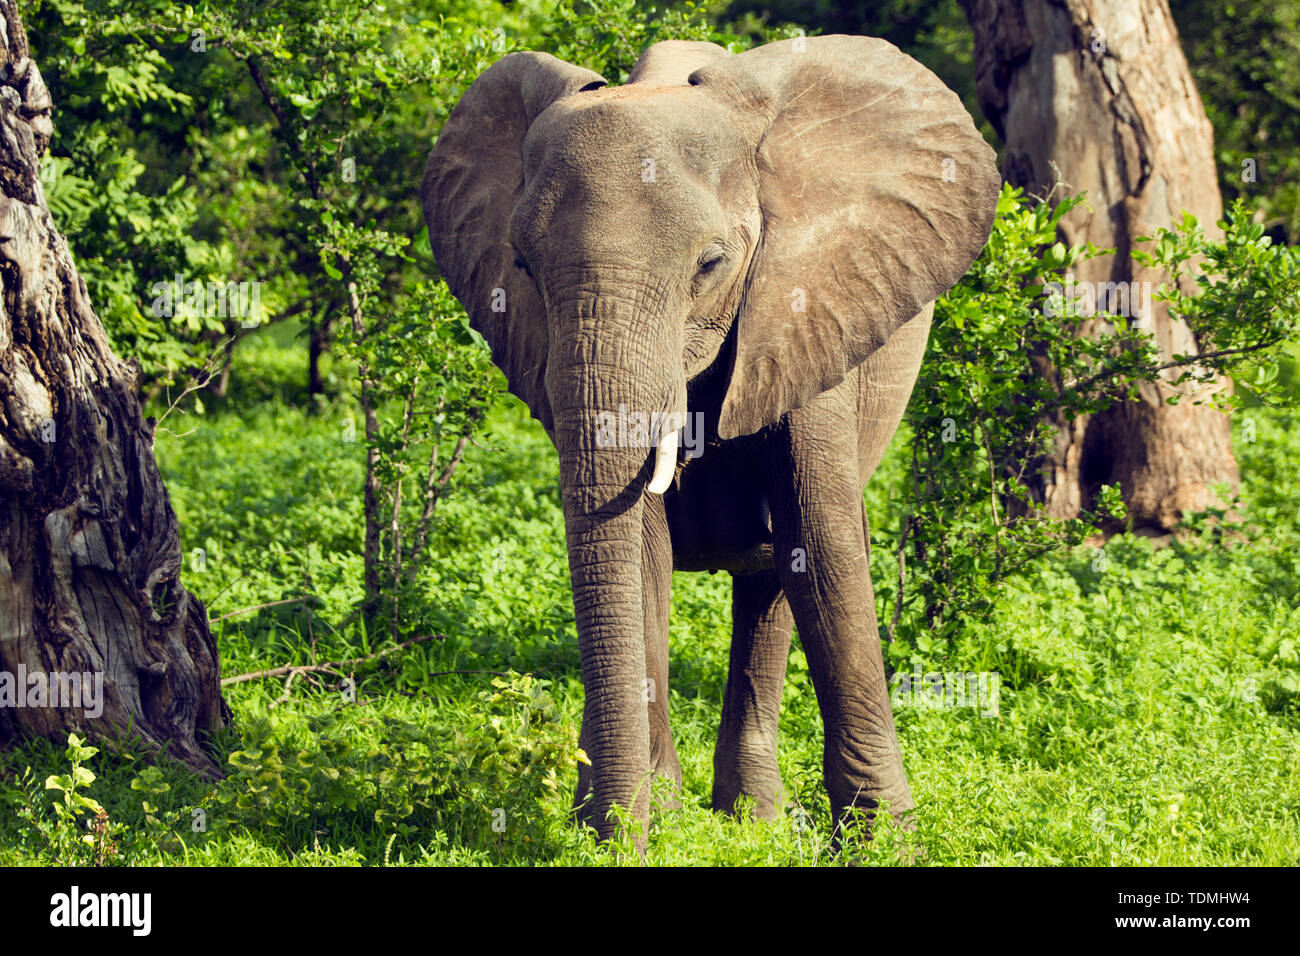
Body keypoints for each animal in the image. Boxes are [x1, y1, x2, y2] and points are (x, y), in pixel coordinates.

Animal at [421, 35, 999, 850]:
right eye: (523, 267)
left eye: (711, 265)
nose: (606, 839)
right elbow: (641, 552)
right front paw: (646, 817)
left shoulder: (804, 305)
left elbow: (822, 544)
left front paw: (887, 844)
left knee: (775, 576)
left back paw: (755, 819)